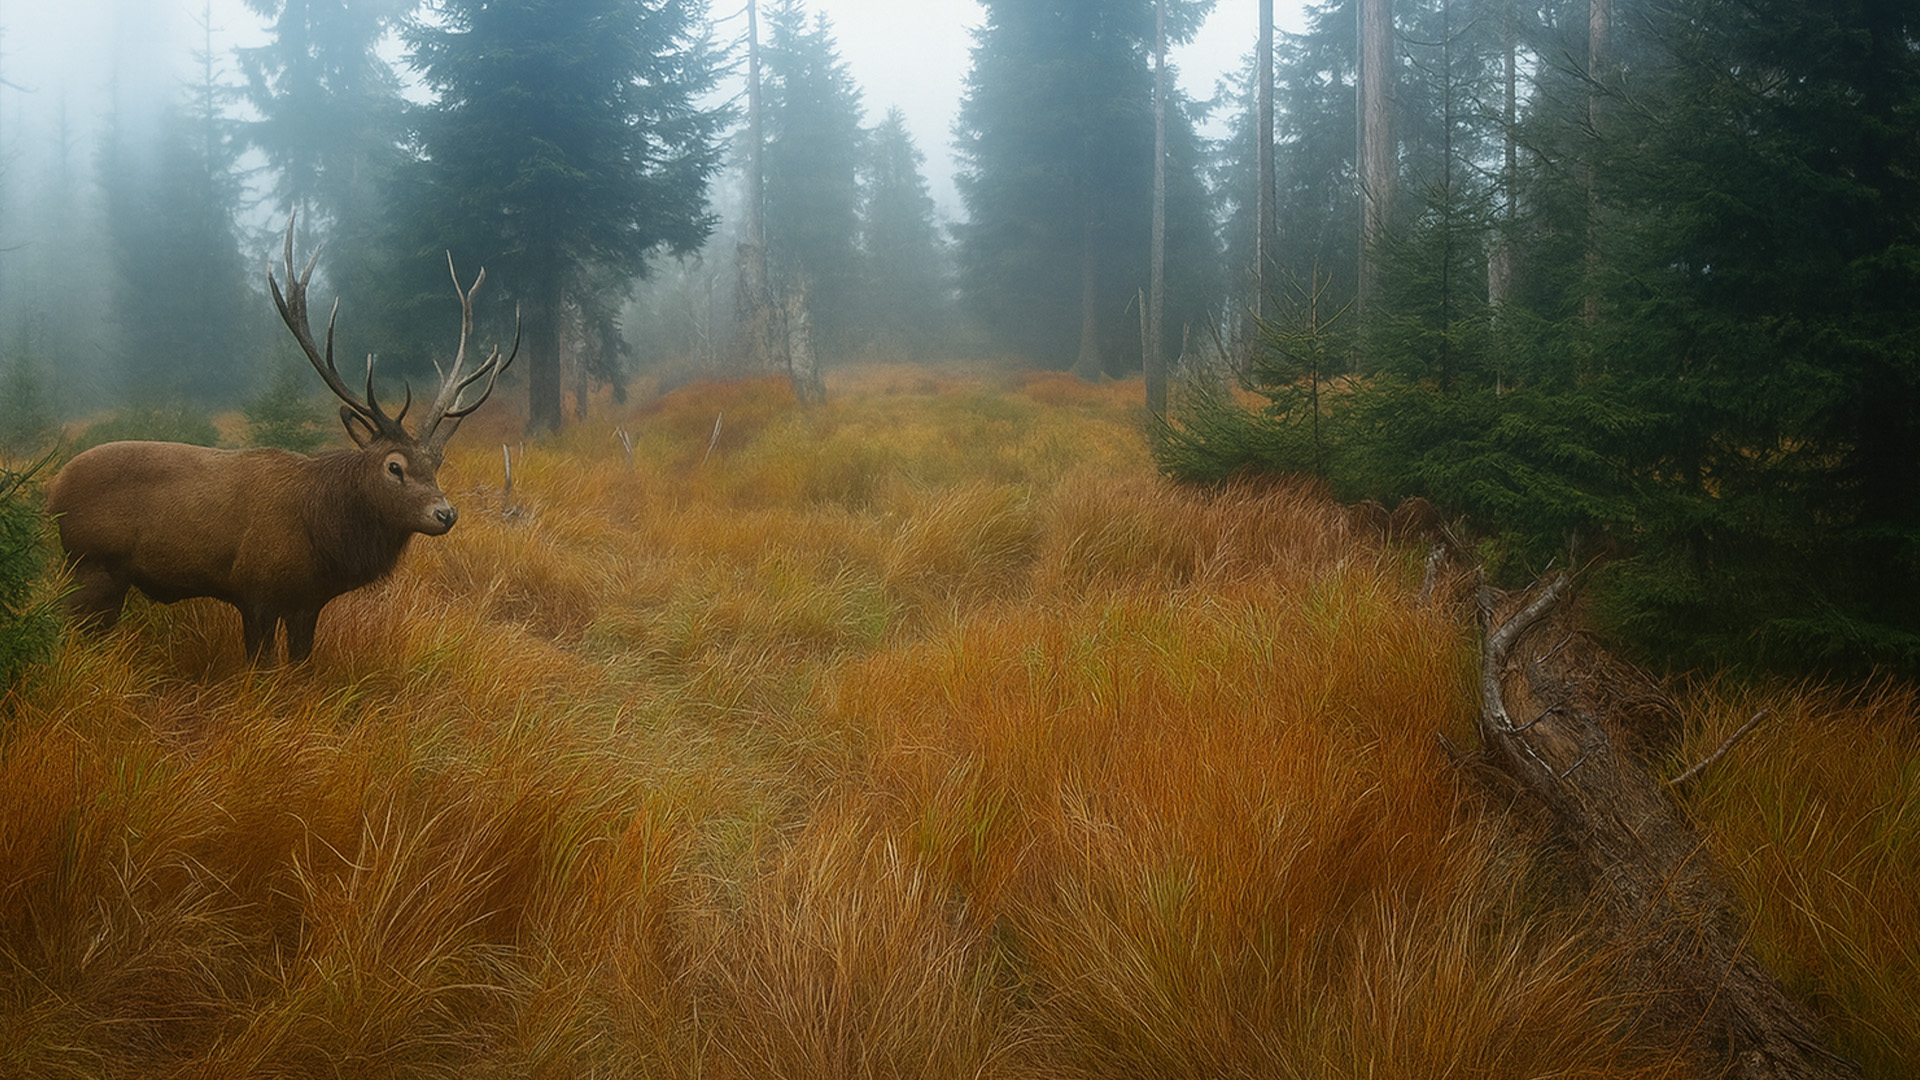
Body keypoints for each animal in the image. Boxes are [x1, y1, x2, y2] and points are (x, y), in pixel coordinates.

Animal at [45, 219, 518, 663]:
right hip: (90, 564)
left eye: (437, 462)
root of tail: (53, 492)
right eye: (394, 466)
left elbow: (301, 662)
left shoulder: (308, 602)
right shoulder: (256, 589)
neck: (325, 535)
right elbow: (261, 663)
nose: (445, 513)